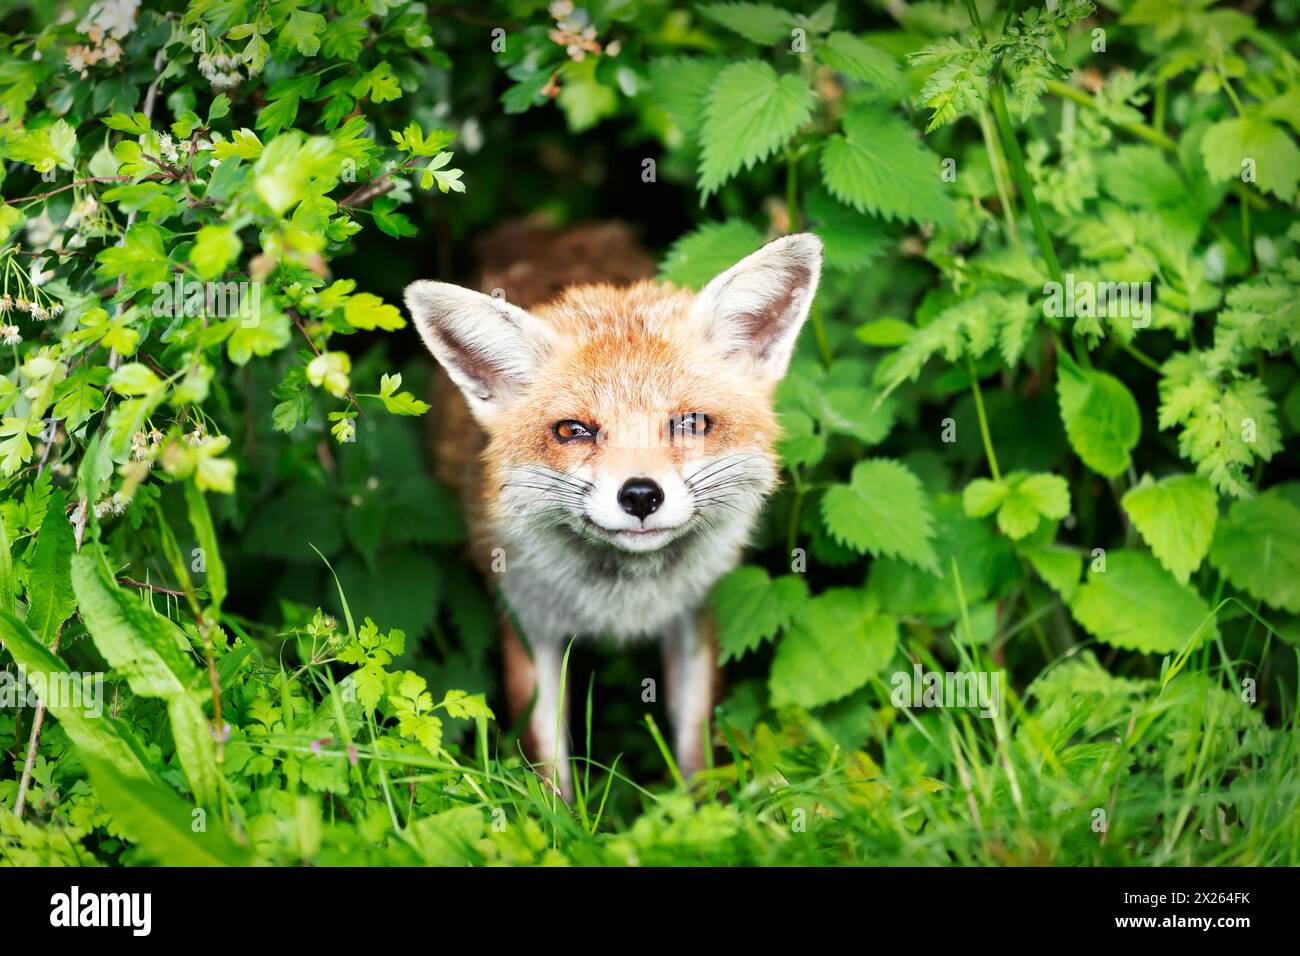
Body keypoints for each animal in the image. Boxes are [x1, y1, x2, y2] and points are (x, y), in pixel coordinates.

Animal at [404, 224, 822, 798]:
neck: (623, 602)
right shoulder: (528, 623)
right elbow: (547, 764)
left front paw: (702, 812)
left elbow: (696, 746)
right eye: (573, 430)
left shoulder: (697, 615)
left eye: (691, 422)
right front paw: (560, 821)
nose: (641, 495)